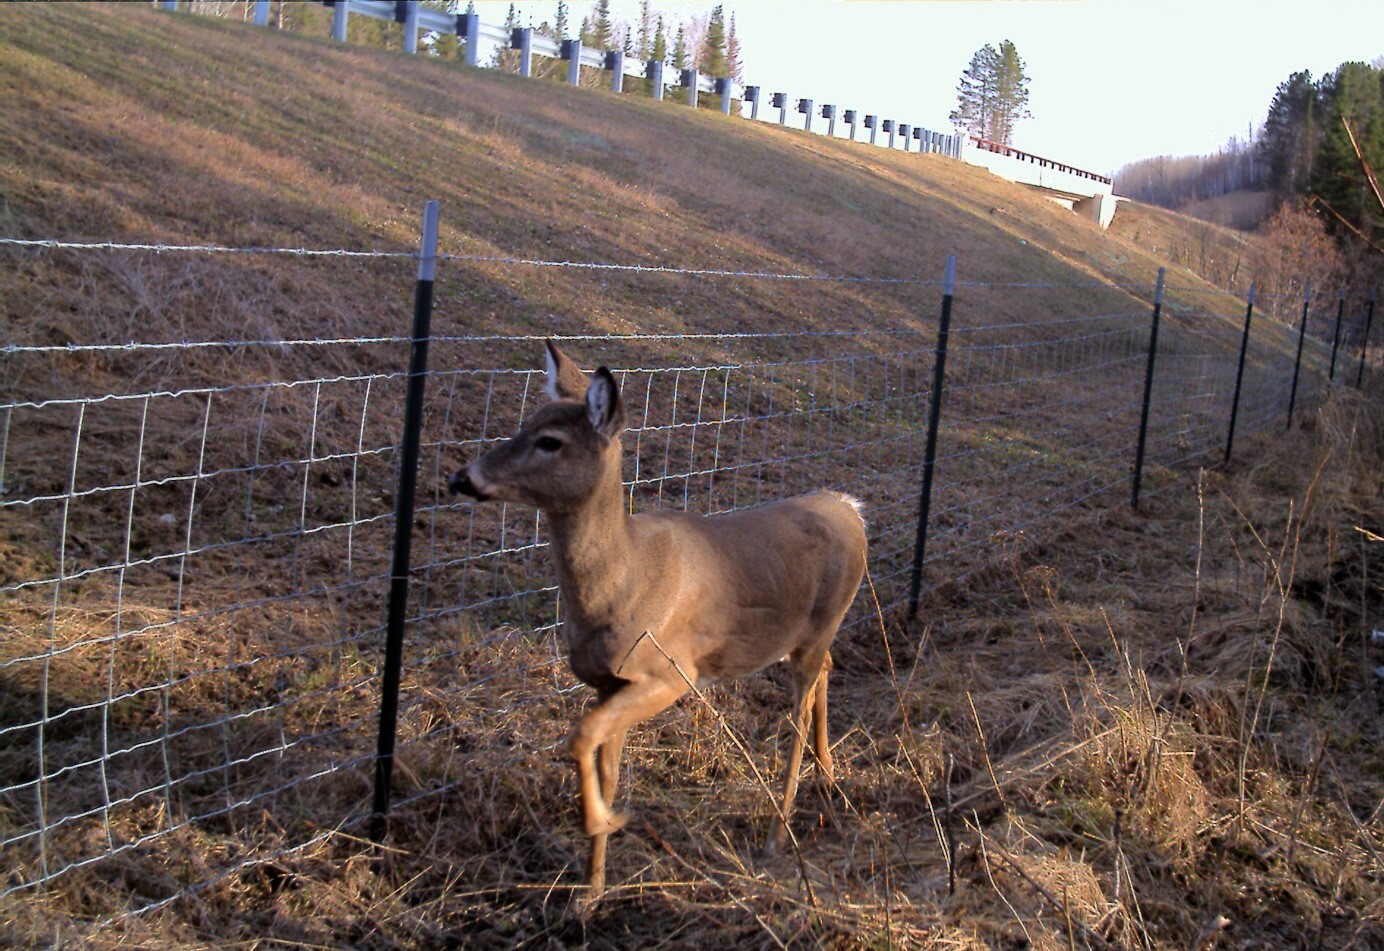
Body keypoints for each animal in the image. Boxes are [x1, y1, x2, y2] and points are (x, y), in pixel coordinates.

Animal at [447, 342, 868, 901]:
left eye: (550, 441)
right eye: (524, 423)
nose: (462, 477)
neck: (622, 585)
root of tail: (852, 509)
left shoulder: (672, 671)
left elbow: (580, 736)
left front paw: (602, 821)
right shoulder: (607, 683)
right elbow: (604, 762)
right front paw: (591, 891)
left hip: (820, 623)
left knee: (797, 716)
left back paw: (778, 832)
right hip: (809, 637)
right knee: (828, 668)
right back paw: (827, 774)